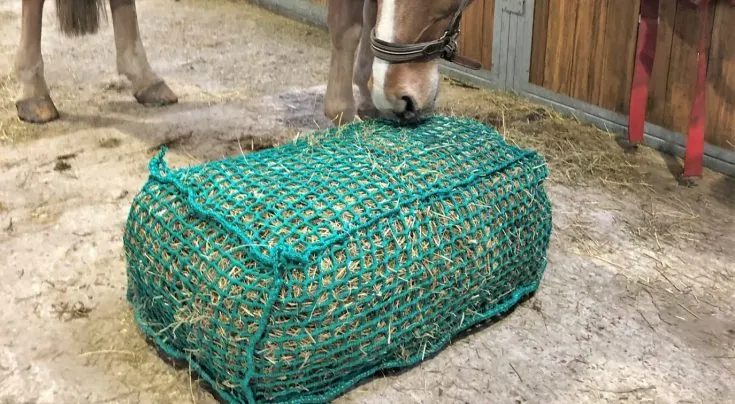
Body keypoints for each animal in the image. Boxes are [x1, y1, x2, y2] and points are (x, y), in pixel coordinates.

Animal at [12, 0, 478, 126]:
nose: (404, 99)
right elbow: (348, 25)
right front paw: (343, 111)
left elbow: (366, 17)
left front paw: (366, 95)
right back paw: (34, 96)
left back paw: (146, 81)